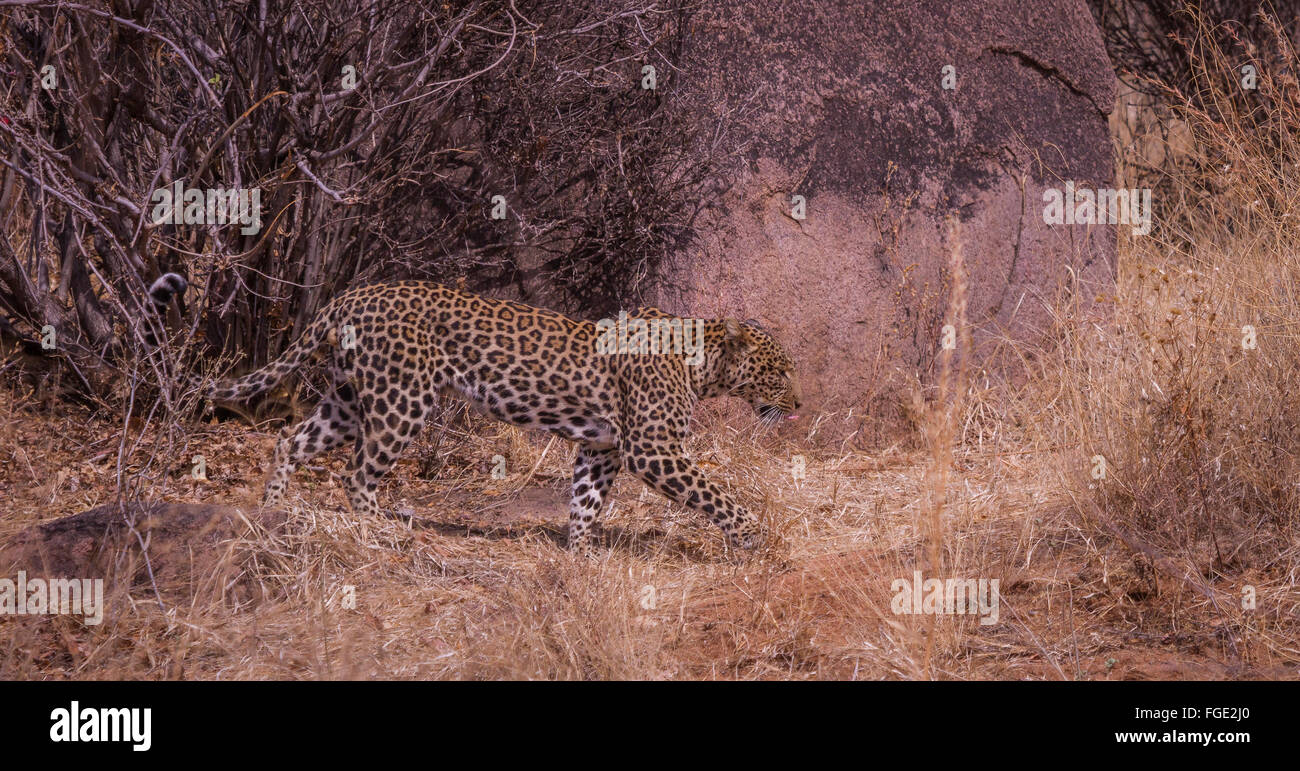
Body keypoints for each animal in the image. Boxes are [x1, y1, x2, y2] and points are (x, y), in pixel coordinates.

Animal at [146, 273, 802, 552]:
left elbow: (586, 501)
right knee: (357, 474)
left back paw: (275, 511)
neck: (704, 361)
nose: (799, 405)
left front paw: (581, 554)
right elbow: (714, 493)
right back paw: (382, 527)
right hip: (402, 400)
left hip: (348, 400)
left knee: (290, 440)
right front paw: (752, 536)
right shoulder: (652, 450)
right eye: (781, 371)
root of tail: (351, 294)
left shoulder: (601, 447)